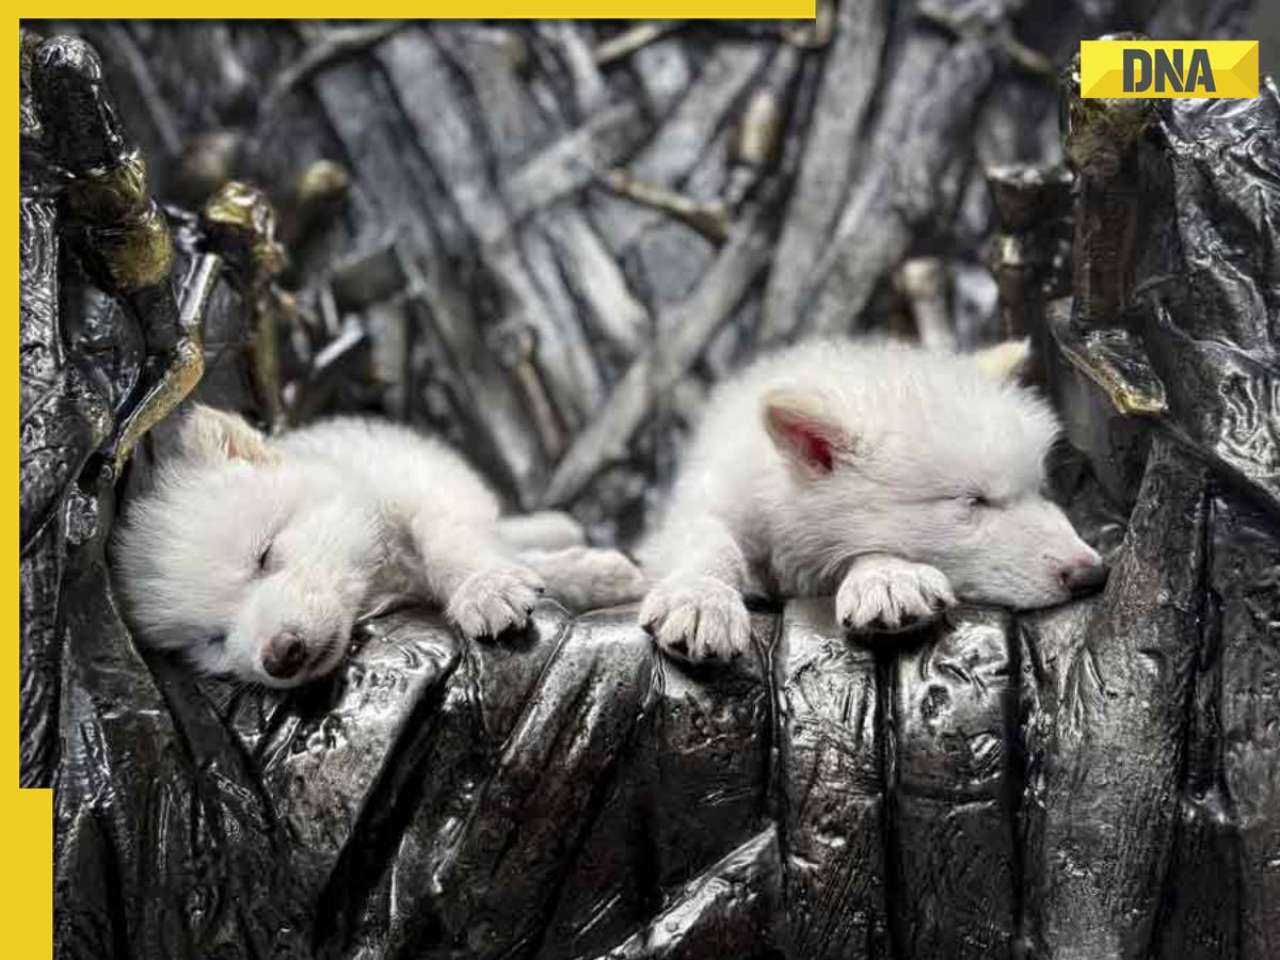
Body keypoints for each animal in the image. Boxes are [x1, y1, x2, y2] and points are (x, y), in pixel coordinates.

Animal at [113, 406, 645, 688]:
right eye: (212, 641)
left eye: (264, 555)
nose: (280, 655)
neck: (378, 576)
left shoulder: (421, 486)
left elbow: (450, 541)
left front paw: (485, 587)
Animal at [636, 337, 1106, 660]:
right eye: (973, 501)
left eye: (1039, 489)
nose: (1093, 575)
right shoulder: (709, 500)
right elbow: (711, 542)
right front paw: (700, 598)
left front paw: (888, 577)